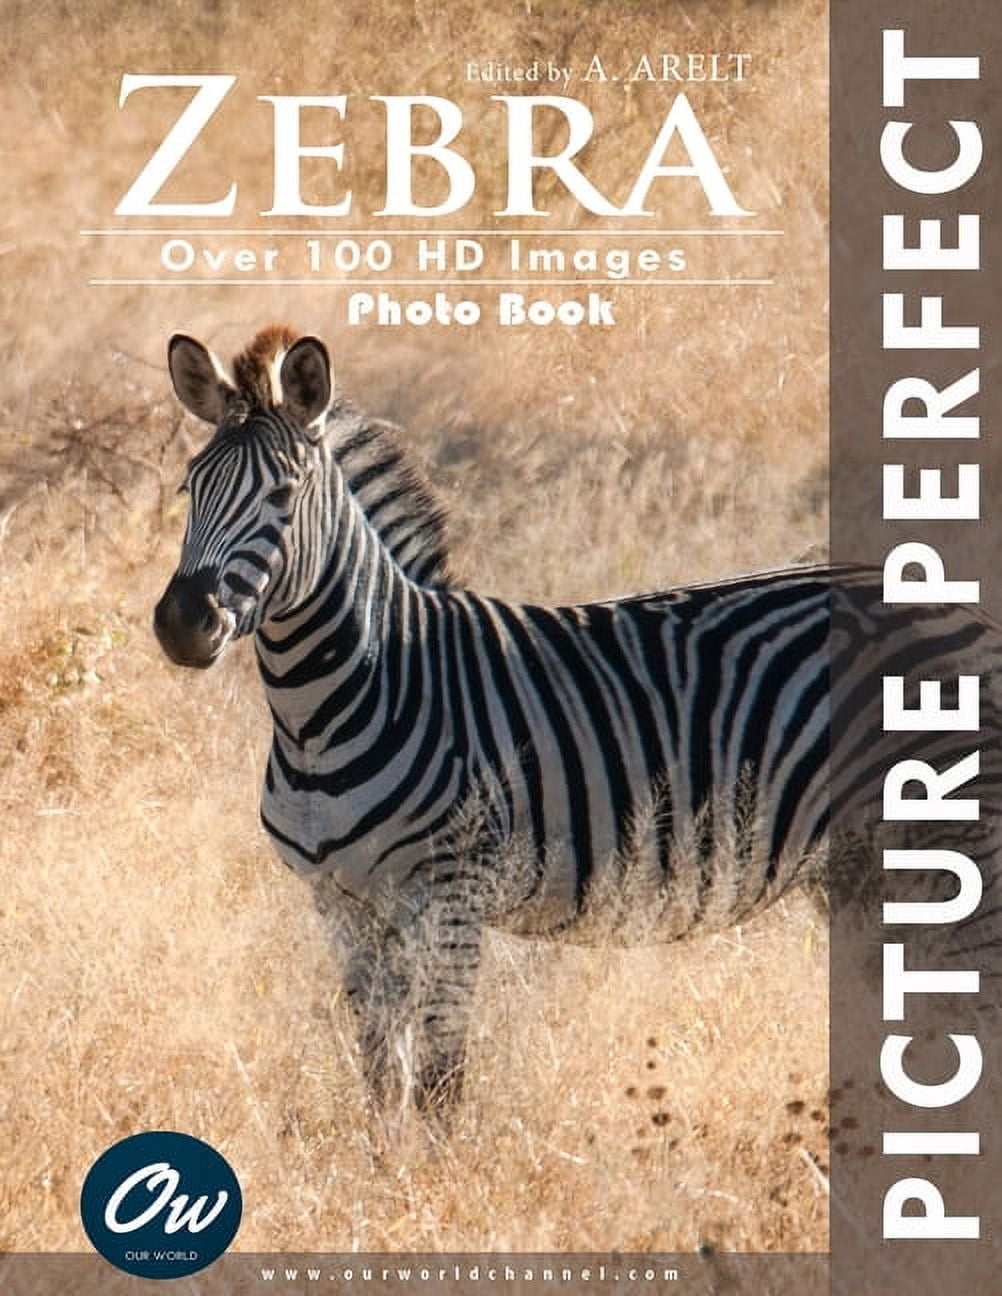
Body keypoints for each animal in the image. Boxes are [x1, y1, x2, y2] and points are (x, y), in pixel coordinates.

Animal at [153, 325, 1001, 1107]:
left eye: (283, 496)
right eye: (190, 488)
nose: (181, 623)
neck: (330, 710)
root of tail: (966, 608)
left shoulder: (449, 899)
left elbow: (438, 1082)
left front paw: (438, 1177)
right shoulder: (343, 906)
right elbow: (379, 1077)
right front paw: (382, 1170)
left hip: (955, 854)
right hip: (865, 871)